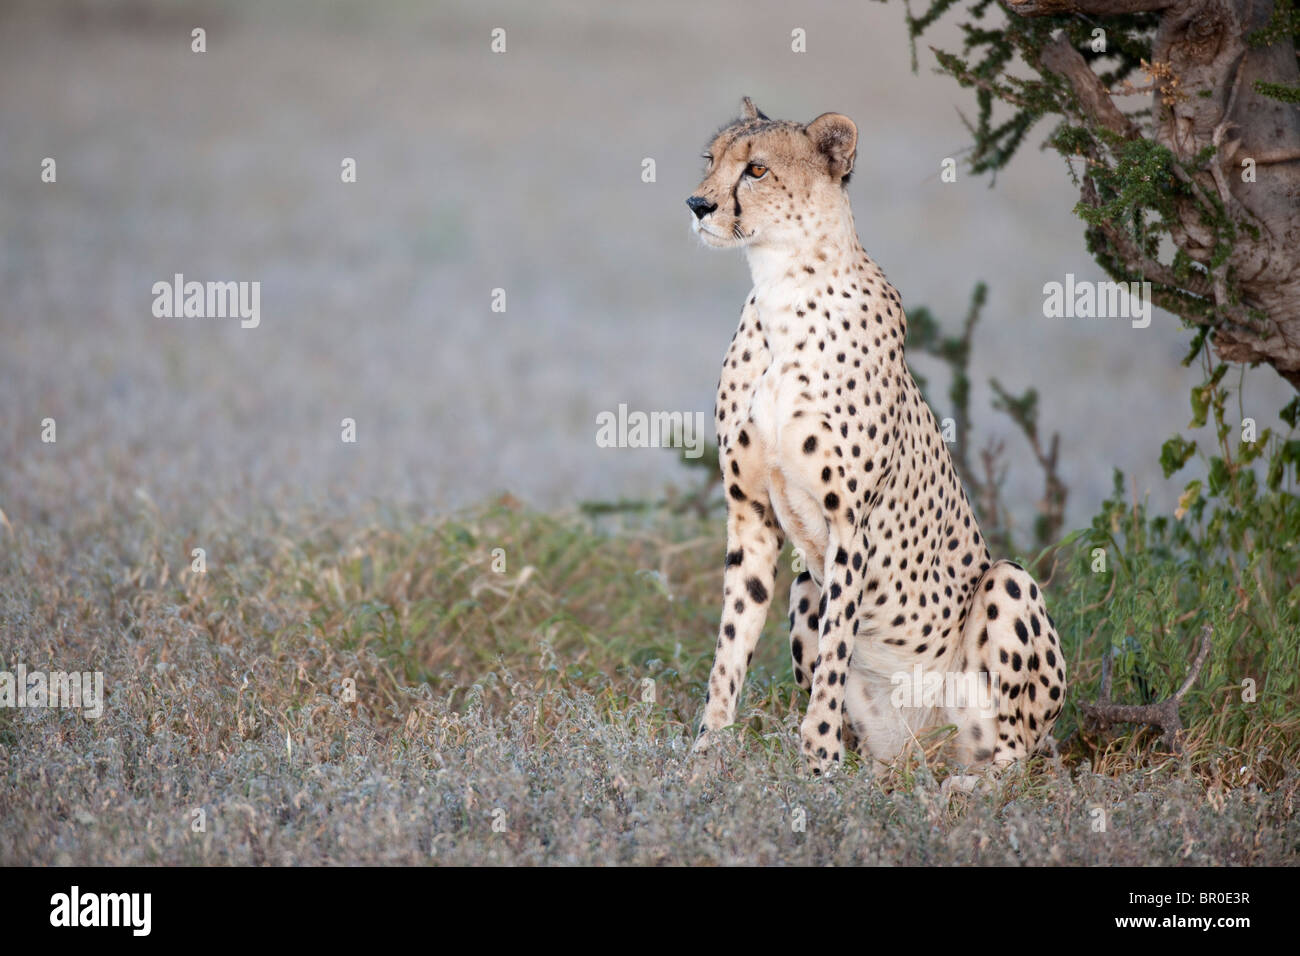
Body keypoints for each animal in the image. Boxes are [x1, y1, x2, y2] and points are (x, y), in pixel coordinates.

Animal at [686, 97, 1065, 776]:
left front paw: (817, 766)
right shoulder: (751, 515)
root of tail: (924, 749)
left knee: (1012, 756)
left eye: (756, 169)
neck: (782, 285)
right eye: (711, 159)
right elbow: (731, 646)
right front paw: (706, 755)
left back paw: (967, 786)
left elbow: (836, 654)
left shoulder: (849, 527)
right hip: (806, 592)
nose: (698, 204)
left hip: (1009, 591)